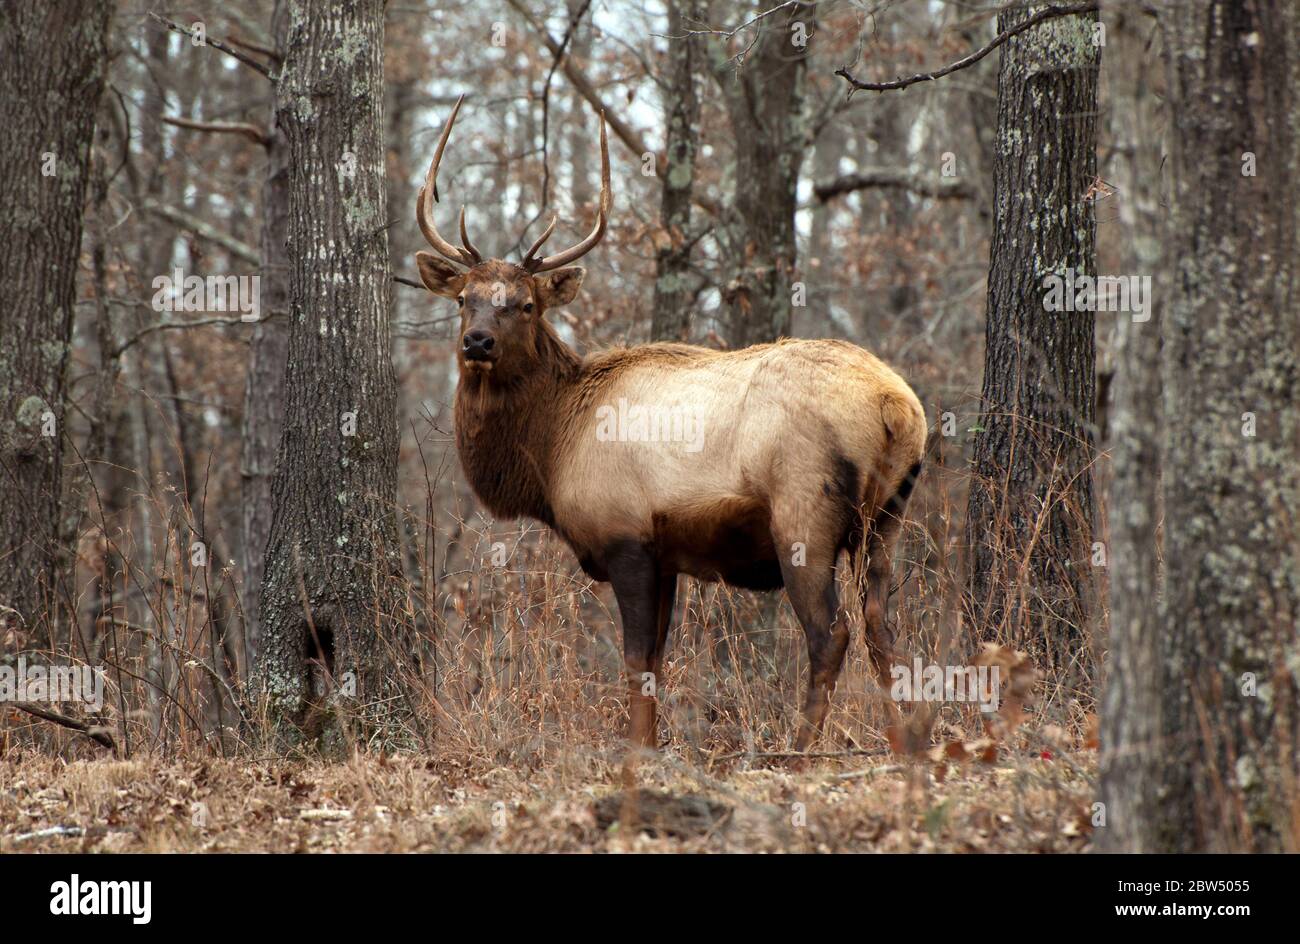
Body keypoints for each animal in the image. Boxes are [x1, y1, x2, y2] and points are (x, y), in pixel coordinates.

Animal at [414, 97, 928, 753]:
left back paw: (800, 747)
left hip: (804, 513)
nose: (477, 341)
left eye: (525, 305)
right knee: (881, 627)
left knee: (830, 633)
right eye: (464, 300)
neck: (553, 449)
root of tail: (897, 407)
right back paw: (903, 743)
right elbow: (658, 660)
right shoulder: (666, 556)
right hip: (887, 518)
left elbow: (637, 661)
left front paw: (637, 750)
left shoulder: (626, 536)